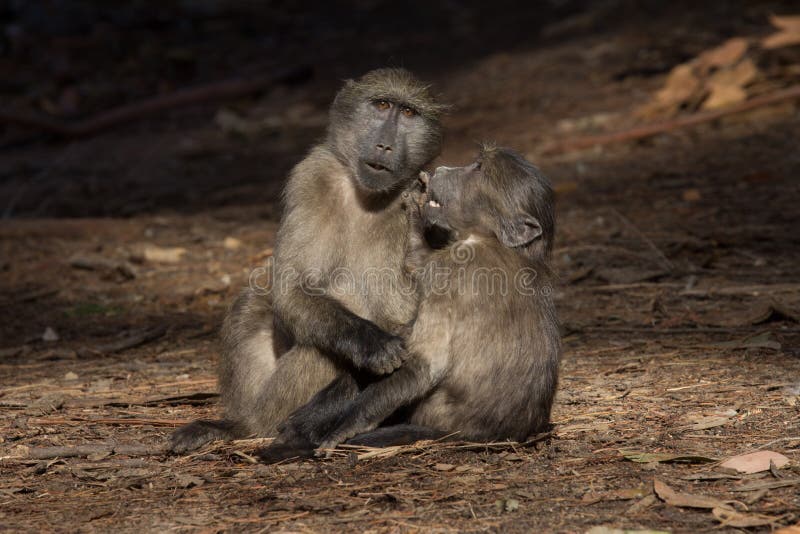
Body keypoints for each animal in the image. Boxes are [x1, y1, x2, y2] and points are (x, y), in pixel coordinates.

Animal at [169, 68, 448, 453]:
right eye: (381, 105)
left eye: (409, 113)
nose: (385, 146)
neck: (368, 196)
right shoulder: (312, 175)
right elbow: (291, 289)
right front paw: (372, 344)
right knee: (256, 304)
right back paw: (241, 426)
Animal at [259, 144, 560, 460]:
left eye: (477, 168)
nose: (442, 170)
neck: (495, 240)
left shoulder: (452, 269)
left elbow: (426, 364)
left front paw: (347, 424)